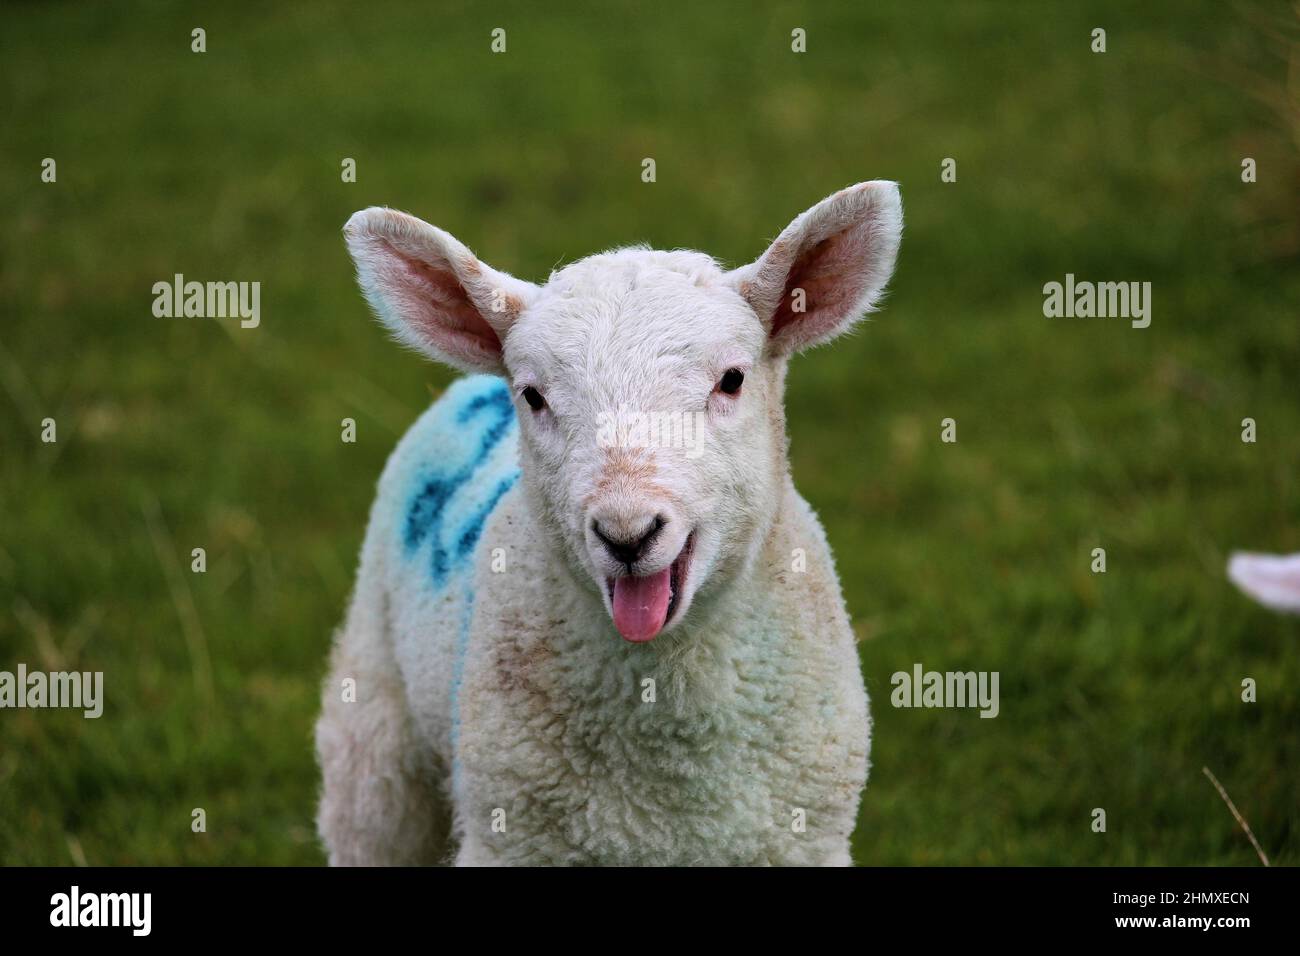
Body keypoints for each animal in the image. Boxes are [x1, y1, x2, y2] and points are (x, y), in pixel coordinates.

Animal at [315, 181, 904, 866]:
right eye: (533, 396)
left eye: (732, 379)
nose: (628, 533)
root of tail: (465, 389)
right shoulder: (509, 840)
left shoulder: (801, 839)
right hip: (375, 730)